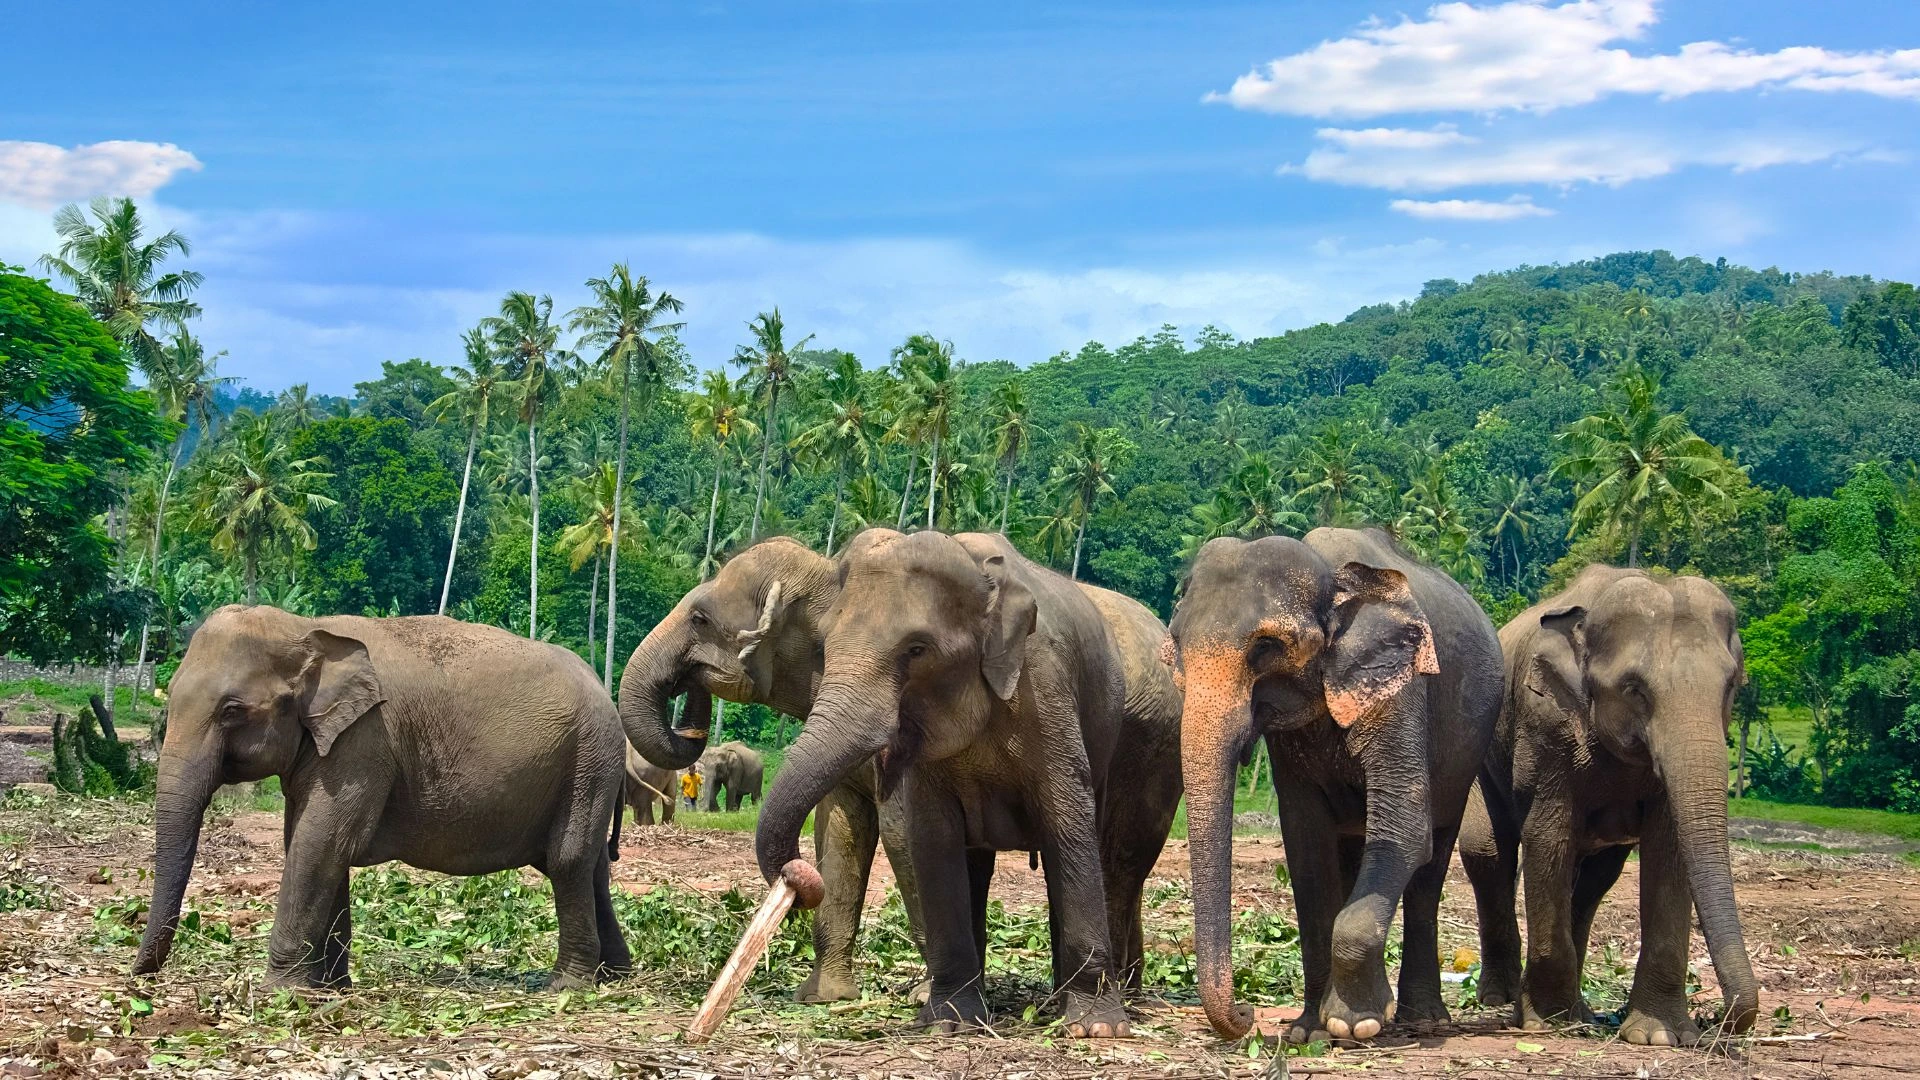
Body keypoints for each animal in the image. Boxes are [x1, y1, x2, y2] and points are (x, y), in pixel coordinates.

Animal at [133, 605, 628, 989]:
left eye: (231, 711)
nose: (140, 974)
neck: (307, 628)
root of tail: (604, 690)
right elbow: (312, 845)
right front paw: (329, 989)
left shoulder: (364, 742)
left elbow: (321, 843)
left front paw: (280, 992)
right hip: (588, 767)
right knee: (590, 866)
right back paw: (615, 976)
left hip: (589, 758)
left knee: (567, 861)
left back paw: (566, 986)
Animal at [618, 536, 928, 1003]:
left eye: (700, 618)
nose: (688, 680)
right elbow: (840, 826)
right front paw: (823, 997)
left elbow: (903, 832)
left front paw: (930, 998)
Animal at [754, 529, 1184, 1038]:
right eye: (823, 646)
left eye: (917, 650)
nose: (799, 874)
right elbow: (933, 841)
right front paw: (949, 1024)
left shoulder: (1047, 692)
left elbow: (1069, 825)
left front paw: (1096, 1029)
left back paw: (1061, 1005)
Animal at [1165, 528, 1502, 1042]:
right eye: (1177, 642)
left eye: (1266, 646)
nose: (1246, 1012)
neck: (1330, 574)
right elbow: (1307, 845)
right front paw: (1310, 1032)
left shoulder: (1398, 688)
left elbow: (1405, 826)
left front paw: (1355, 1022)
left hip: (1465, 758)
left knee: (1430, 865)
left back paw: (1423, 1020)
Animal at [1460, 566, 1760, 1046]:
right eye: (1634, 689)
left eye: (1732, 686)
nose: (1716, 1020)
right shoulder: (1544, 726)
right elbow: (1548, 838)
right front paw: (1549, 1023)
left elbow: (1668, 852)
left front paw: (1659, 1036)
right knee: (1487, 851)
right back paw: (1500, 999)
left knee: (1594, 881)